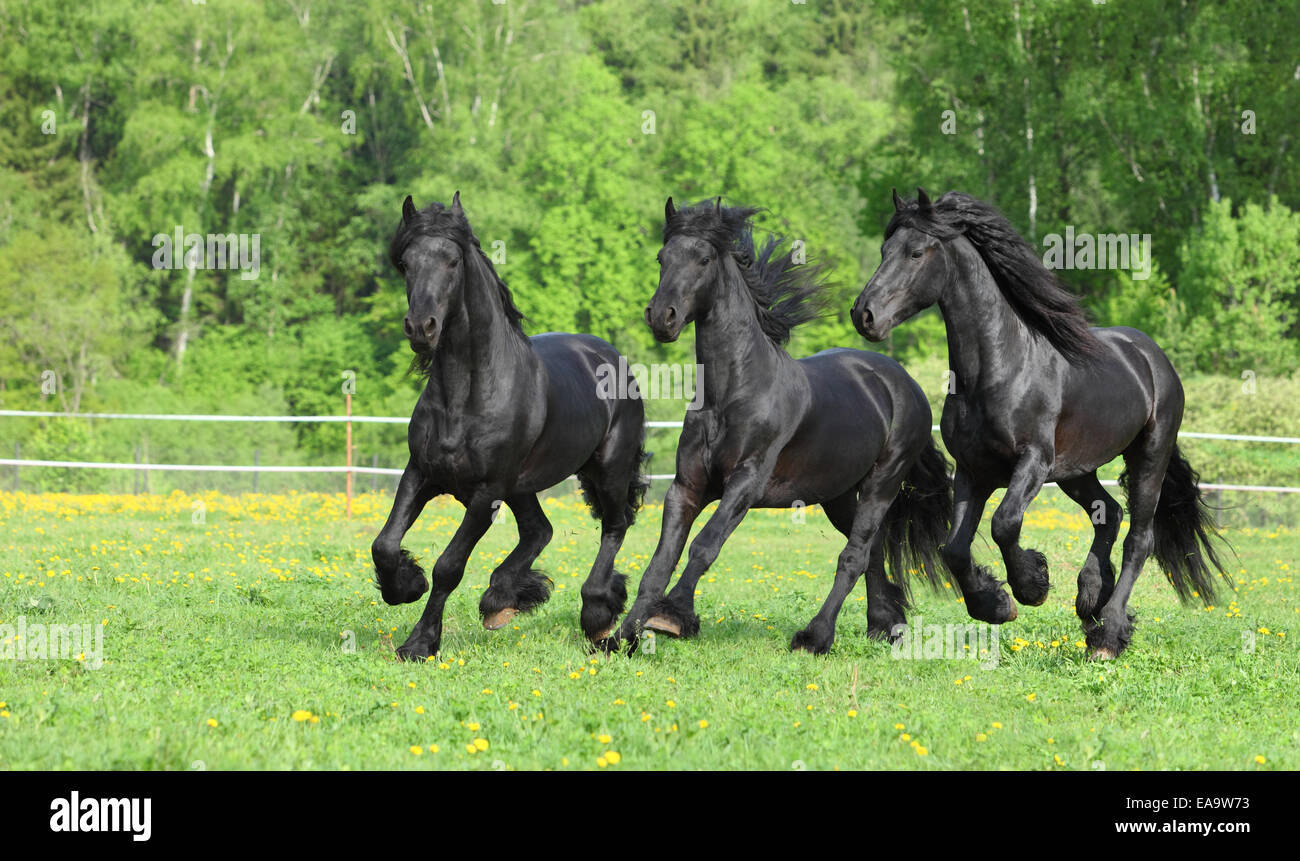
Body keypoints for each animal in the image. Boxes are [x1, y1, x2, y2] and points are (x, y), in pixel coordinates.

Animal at [372, 192, 649, 661]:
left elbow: (449, 566)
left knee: (615, 526)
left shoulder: (486, 493)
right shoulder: (421, 473)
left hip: (607, 469)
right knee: (540, 530)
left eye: (452, 261)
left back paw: (596, 616)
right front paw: (406, 586)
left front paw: (420, 642)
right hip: (522, 486)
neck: (467, 395)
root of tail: (610, 355)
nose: (421, 327)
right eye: (406, 263)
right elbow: (385, 544)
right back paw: (501, 601)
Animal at [614, 197, 953, 655]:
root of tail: (905, 383)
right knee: (871, 549)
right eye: (661, 258)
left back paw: (815, 637)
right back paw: (885, 626)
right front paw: (621, 637)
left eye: (703, 259)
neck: (733, 393)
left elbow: (704, 546)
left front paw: (672, 617)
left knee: (854, 555)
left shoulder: (745, 485)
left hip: (883, 482)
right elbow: (660, 561)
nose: (661, 317)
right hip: (838, 494)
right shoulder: (687, 487)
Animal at [851, 188, 1232, 659]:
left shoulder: (1032, 462)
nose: (864, 315)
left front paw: (1032, 585)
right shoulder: (973, 471)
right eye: (884, 250)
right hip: (1076, 470)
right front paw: (996, 604)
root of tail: (1153, 357)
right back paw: (1091, 599)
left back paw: (1108, 634)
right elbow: (954, 548)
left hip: (1148, 455)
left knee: (1139, 539)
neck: (999, 369)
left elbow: (1004, 524)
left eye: (916, 252)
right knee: (1108, 514)